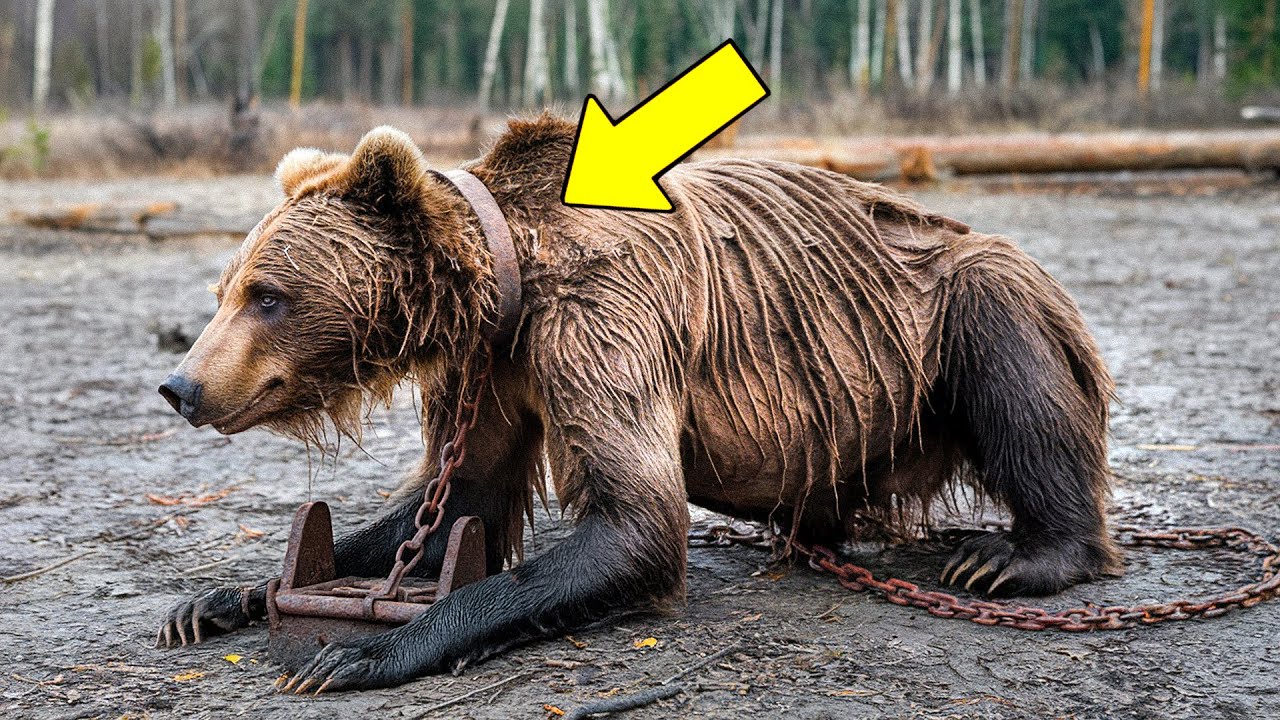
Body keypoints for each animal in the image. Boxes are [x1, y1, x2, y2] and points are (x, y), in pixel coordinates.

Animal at [156, 115, 1120, 692]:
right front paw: (218, 600)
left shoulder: (601, 322)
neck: (510, 283)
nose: (181, 385)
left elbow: (634, 521)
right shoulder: (496, 371)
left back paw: (1012, 559)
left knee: (1018, 379)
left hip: (952, 305)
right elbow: (453, 502)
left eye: (268, 296)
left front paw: (358, 652)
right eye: (224, 288)